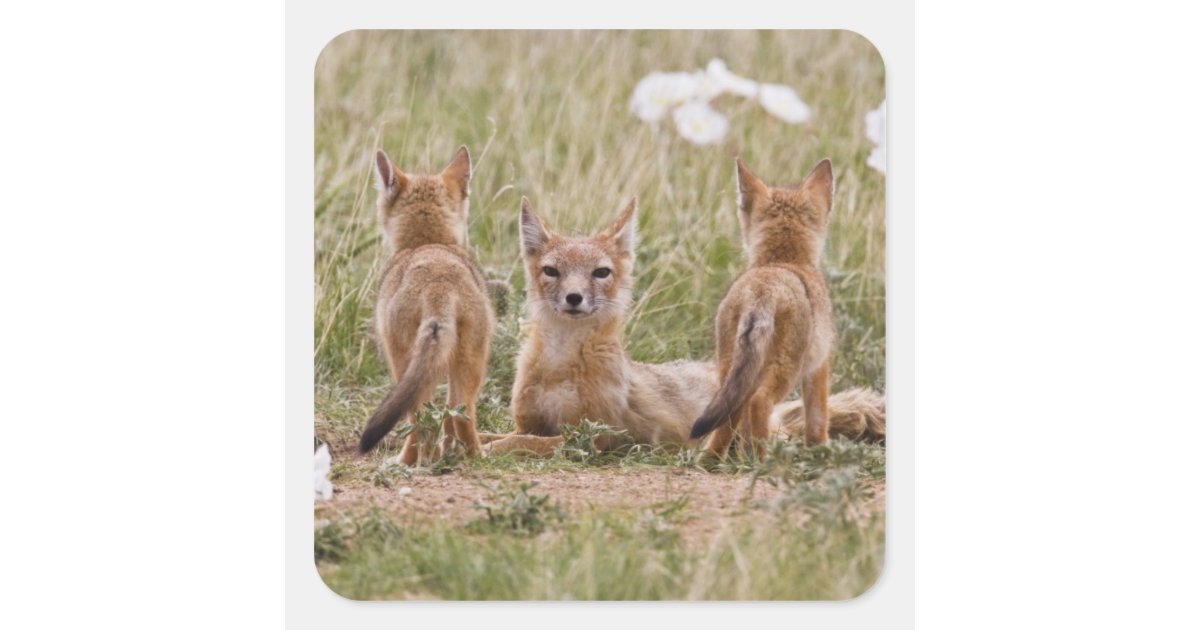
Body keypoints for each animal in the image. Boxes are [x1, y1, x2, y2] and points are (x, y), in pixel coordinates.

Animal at [357, 146, 494, 463]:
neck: (427, 243)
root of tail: (438, 283)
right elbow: (447, 419)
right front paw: (446, 452)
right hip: (470, 362)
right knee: (460, 412)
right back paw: (474, 457)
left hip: (403, 363)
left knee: (418, 418)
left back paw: (405, 462)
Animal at [484, 194, 883, 458]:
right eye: (552, 271)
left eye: (600, 273)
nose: (574, 298)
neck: (559, 366)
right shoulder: (529, 422)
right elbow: (496, 433)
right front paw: (473, 445)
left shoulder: (594, 435)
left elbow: (520, 443)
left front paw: (489, 450)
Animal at [690, 158, 838, 459]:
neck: (783, 260)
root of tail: (762, 290)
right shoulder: (819, 366)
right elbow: (818, 417)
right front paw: (821, 449)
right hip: (785, 370)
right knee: (760, 402)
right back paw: (760, 459)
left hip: (730, 371)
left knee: (730, 417)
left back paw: (712, 460)